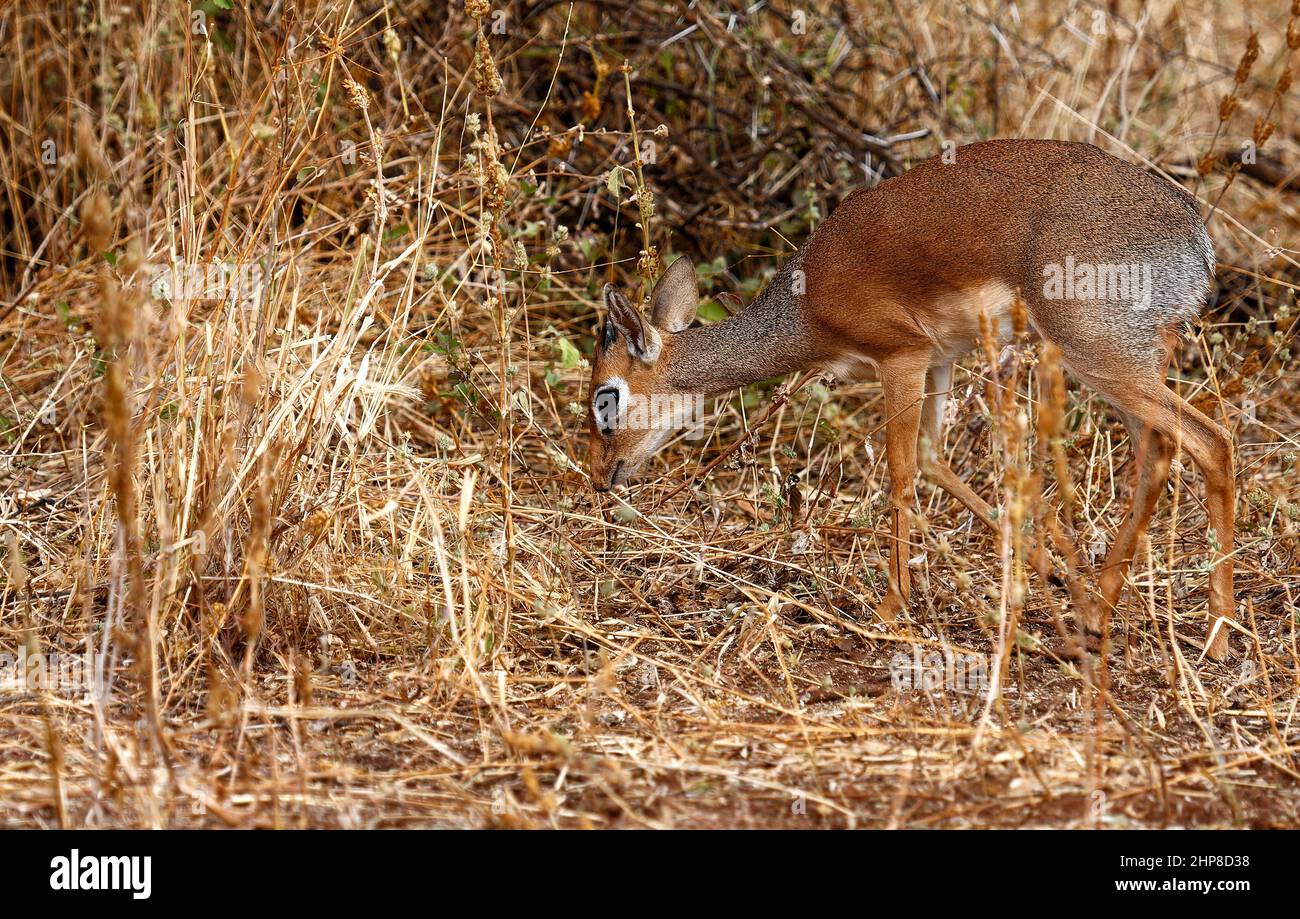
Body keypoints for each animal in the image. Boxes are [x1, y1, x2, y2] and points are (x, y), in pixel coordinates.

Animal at [587, 139, 1235, 660]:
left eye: (606, 398)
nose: (603, 477)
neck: (805, 305)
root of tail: (1195, 236)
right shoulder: (941, 358)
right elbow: (931, 458)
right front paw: (1050, 572)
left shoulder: (900, 357)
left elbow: (899, 471)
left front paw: (890, 609)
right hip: (1126, 361)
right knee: (1159, 452)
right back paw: (1098, 611)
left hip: (1097, 353)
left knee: (1212, 441)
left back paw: (1218, 637)